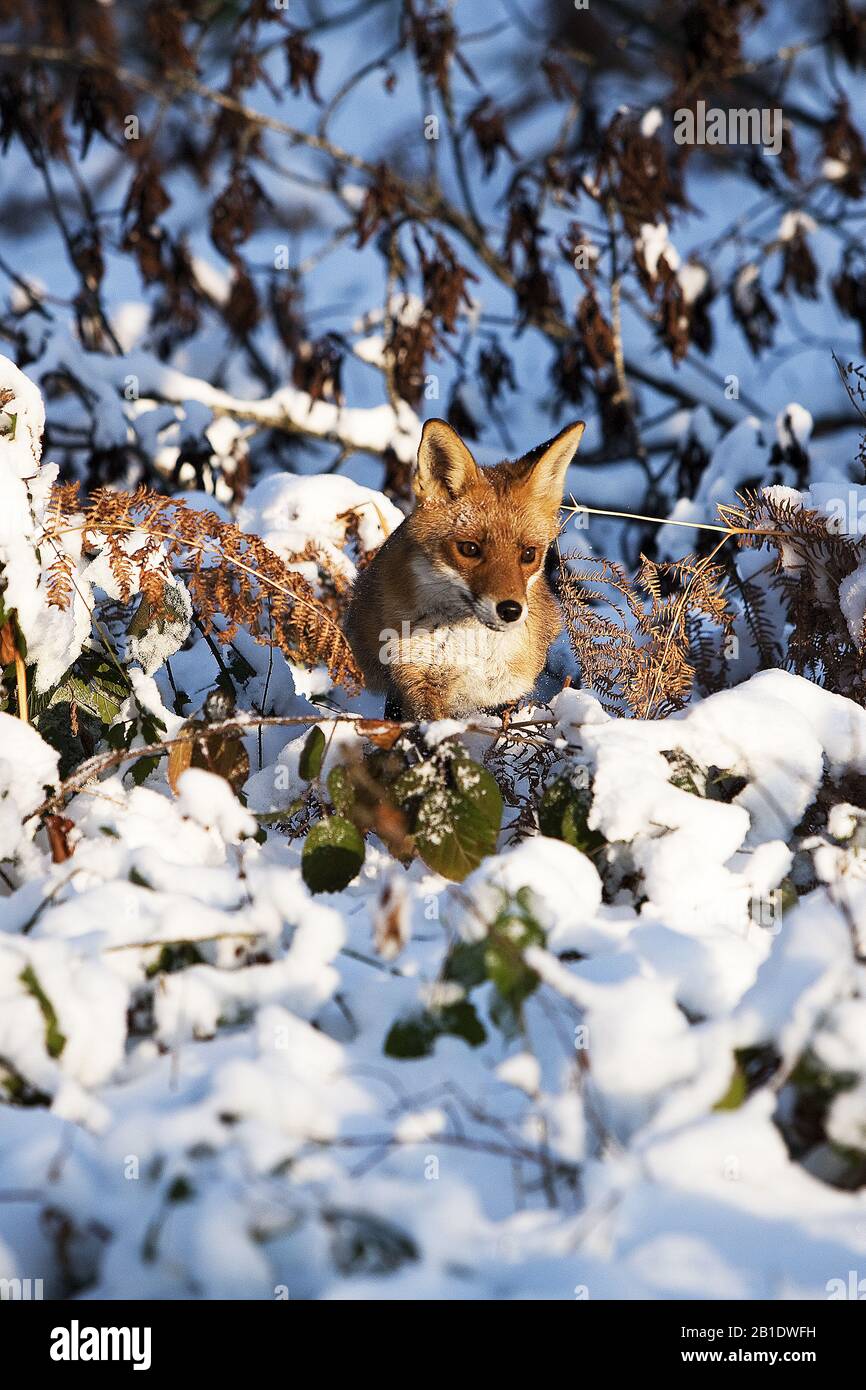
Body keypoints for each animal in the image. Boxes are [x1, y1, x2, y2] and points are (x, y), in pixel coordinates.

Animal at [345, 416, 585, 719]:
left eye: (529, 554)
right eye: (469, 549)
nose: (510, 610)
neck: (470, 648)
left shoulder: (504, 694)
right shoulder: (416, 681)